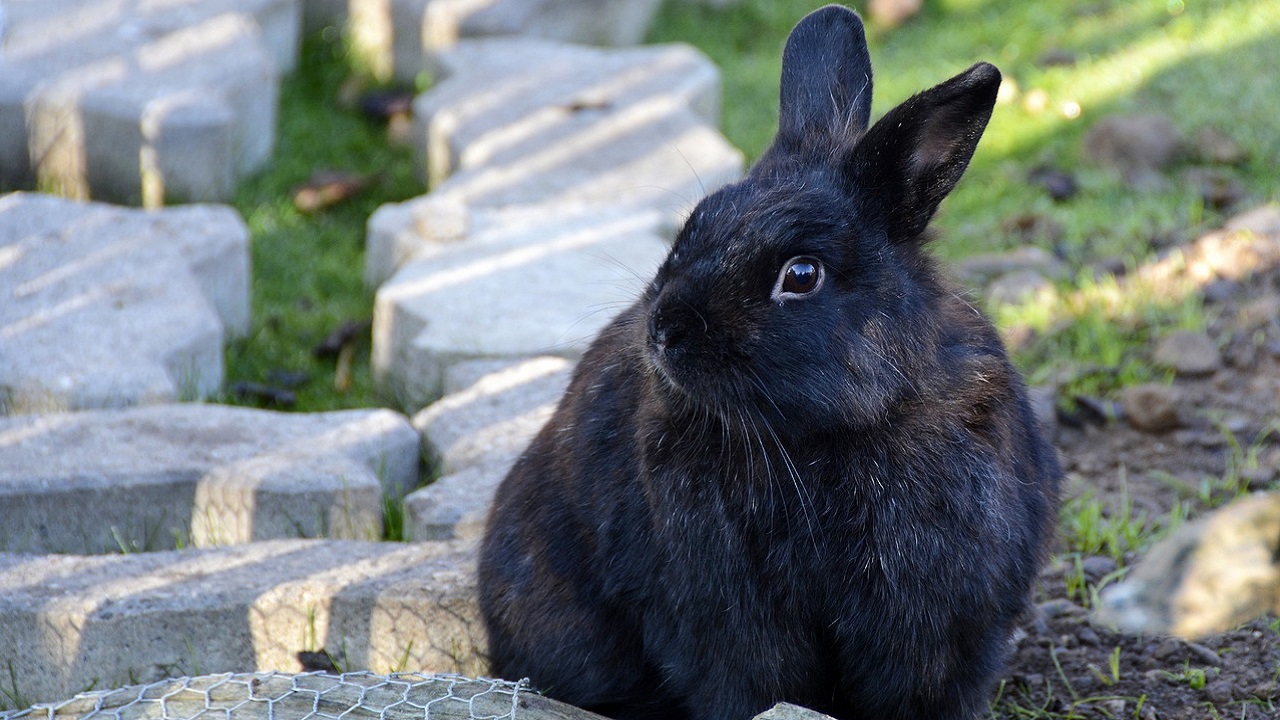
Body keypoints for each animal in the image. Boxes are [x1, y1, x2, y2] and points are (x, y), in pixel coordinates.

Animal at [478, 5, 1061, 720]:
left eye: (801, 275)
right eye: (692, 226)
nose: (664, 330)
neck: (821, 437)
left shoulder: (937, 624)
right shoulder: (724, 620)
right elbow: (750, 684)